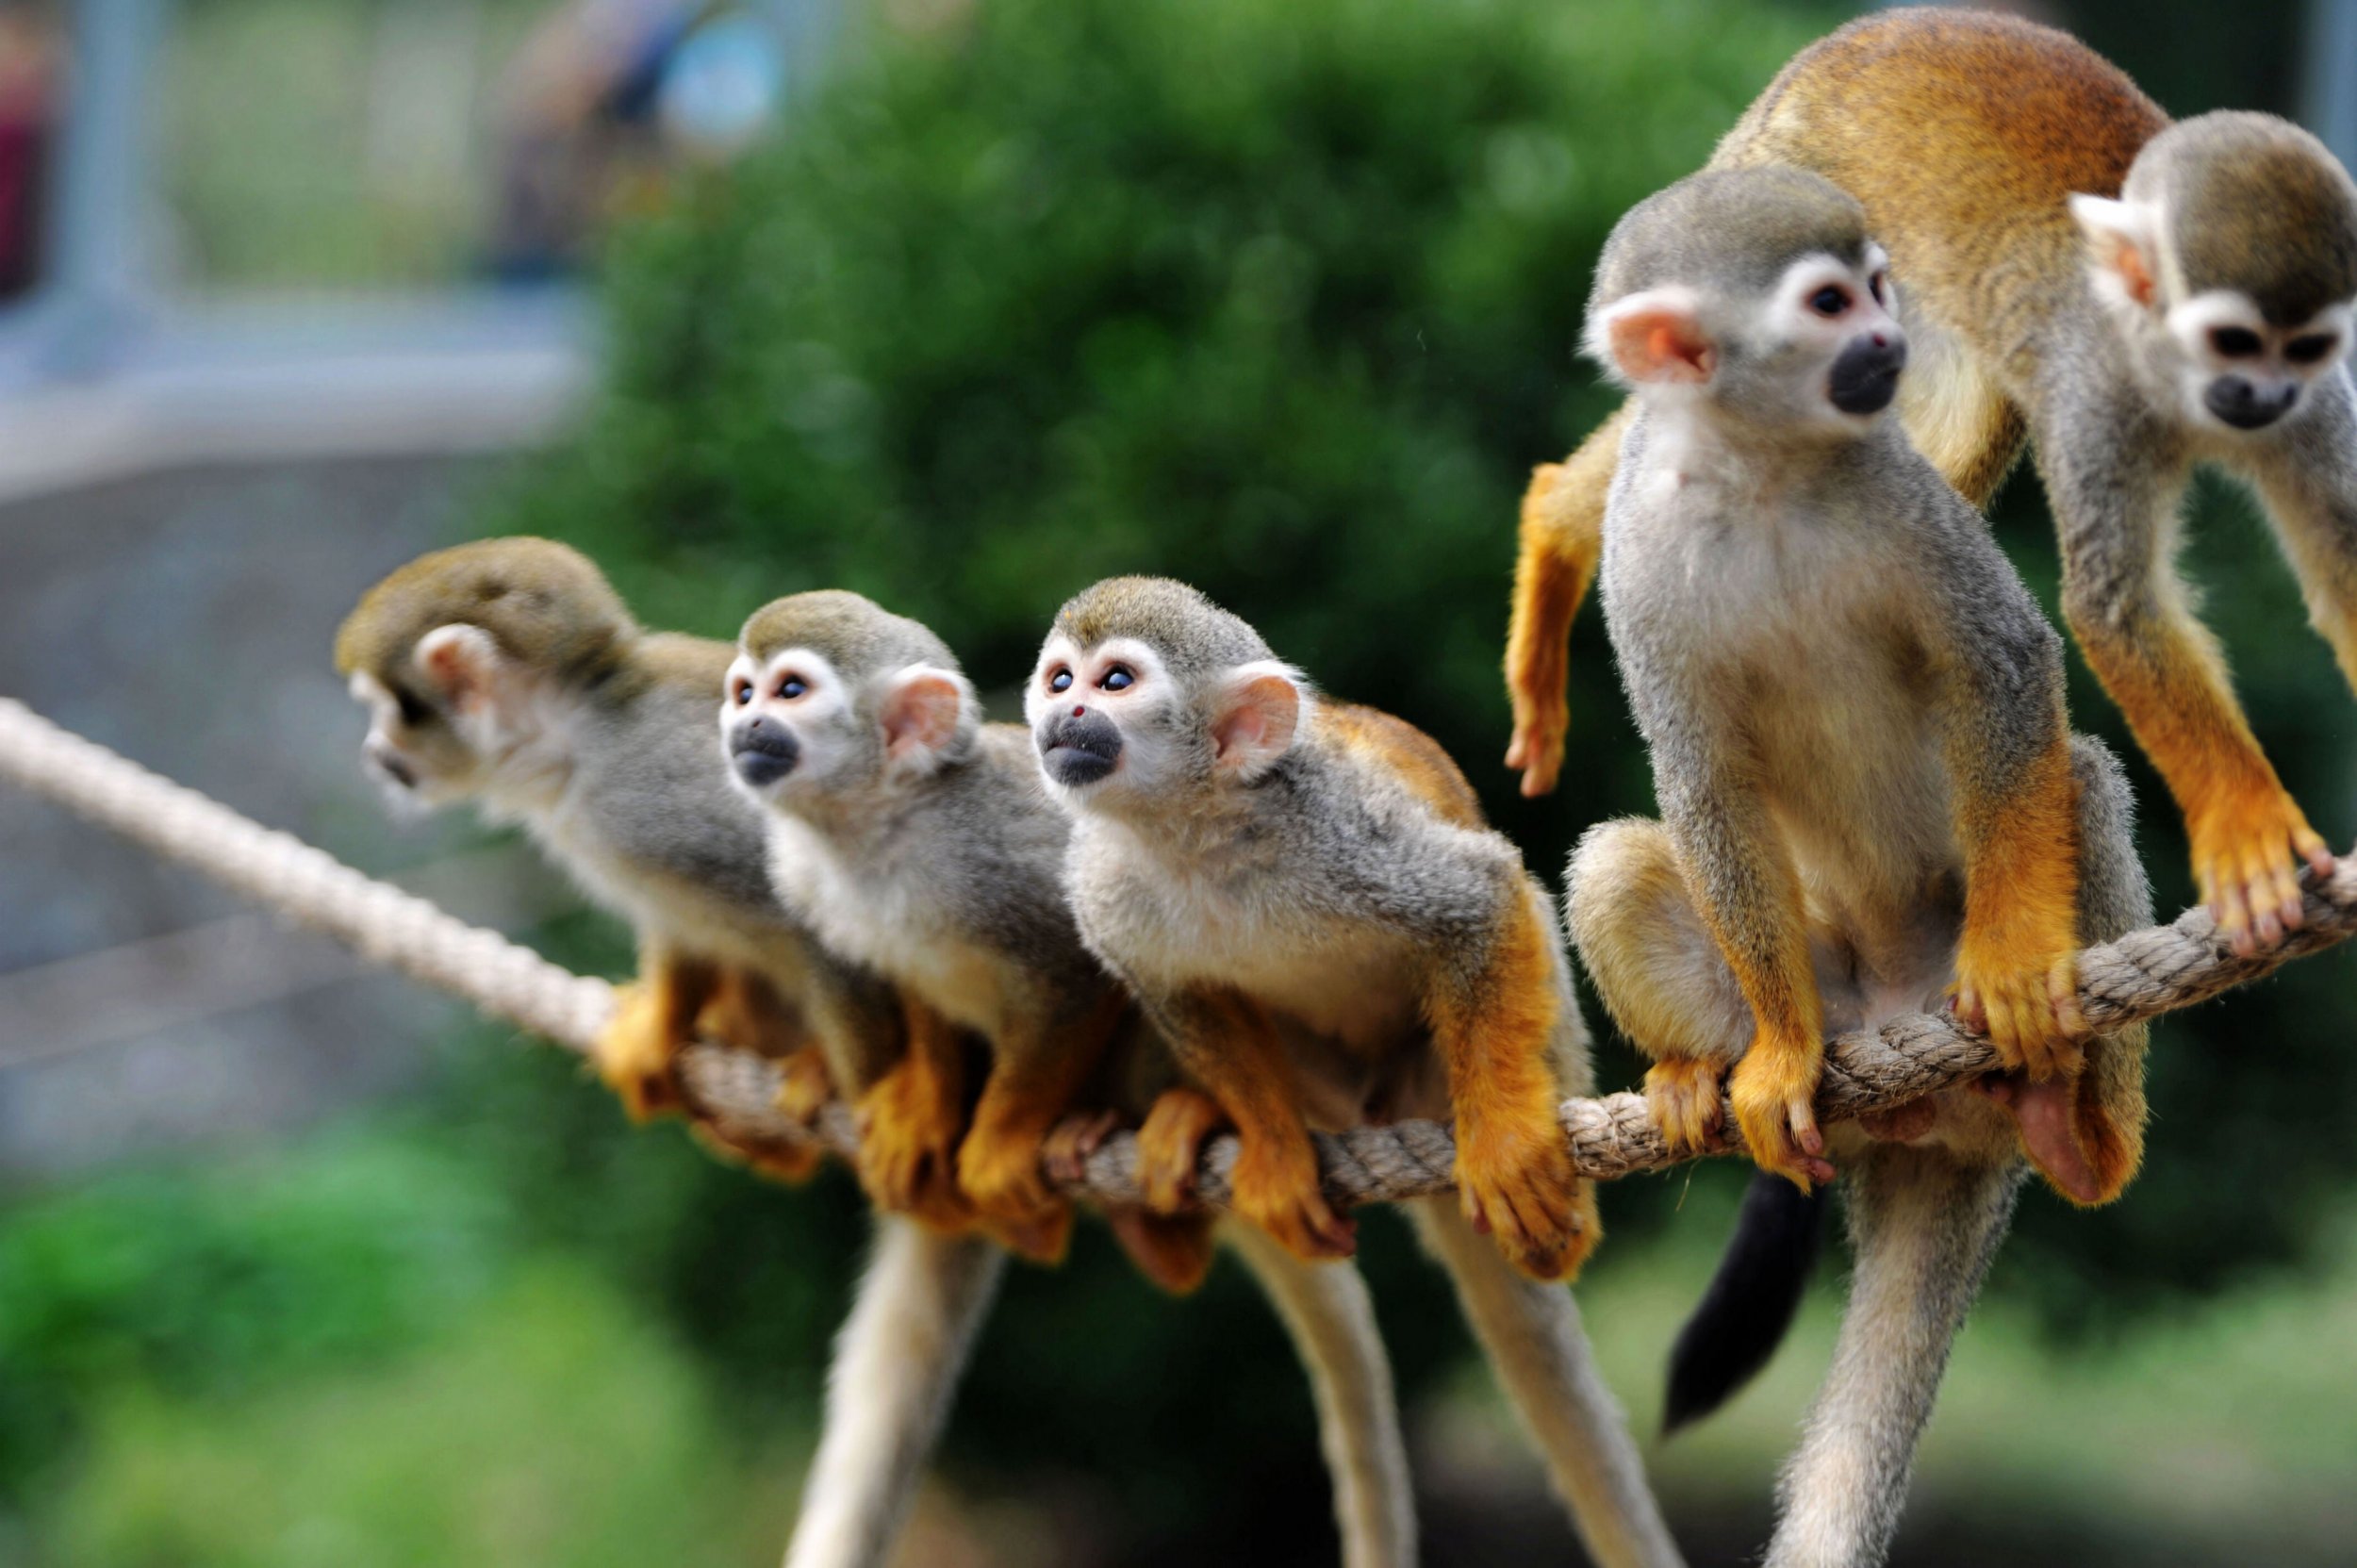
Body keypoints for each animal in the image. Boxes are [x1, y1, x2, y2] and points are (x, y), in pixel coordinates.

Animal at [1030, 575, 1685, 1568]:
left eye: (1113, 682)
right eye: (1060, 677)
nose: (1062, 713)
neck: (1193, 829)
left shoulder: (1342, 832)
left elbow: (1481, 895)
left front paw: (1503, 1141)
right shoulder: (1104, 889)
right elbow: (1175, 990)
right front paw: (1271, 1151)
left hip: (1508, 1055)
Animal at [1505, 6, 2356, 959]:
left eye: (2303, 347)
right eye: (2233, 342)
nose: (2260, 397)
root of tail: (1871, 31)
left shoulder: (2315, 400)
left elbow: (2341, 557)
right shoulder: (2094, 383)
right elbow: (2114, 605)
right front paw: (2249, 830)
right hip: (1791, 181)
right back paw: (1557, 526)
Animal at [1558, 167, 2154, 1568]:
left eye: (1883, 288)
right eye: (1832, 304)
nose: (1891, 340)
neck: (1758, 469)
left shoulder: (1902, 489)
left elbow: (2004, 667)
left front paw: (2016, 965)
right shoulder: (1637, 545)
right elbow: (1700, 782)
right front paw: (1773, 1054)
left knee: (2081, 775)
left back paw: (2075, 1124)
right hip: (1841, 1019)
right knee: (1613, 862)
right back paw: (1704, 1074)